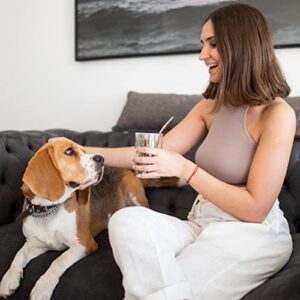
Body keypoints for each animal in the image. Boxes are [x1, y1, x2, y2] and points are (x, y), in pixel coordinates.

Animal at [0, 138, 149, 300]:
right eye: (69, 151)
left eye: (84, 150)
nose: (101, 158)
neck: (49, 211)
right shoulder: (35, 244)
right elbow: (18, 255)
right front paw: (9, 279)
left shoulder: (83, 244)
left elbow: (57, 261)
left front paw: (43, 286)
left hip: (135, 195)